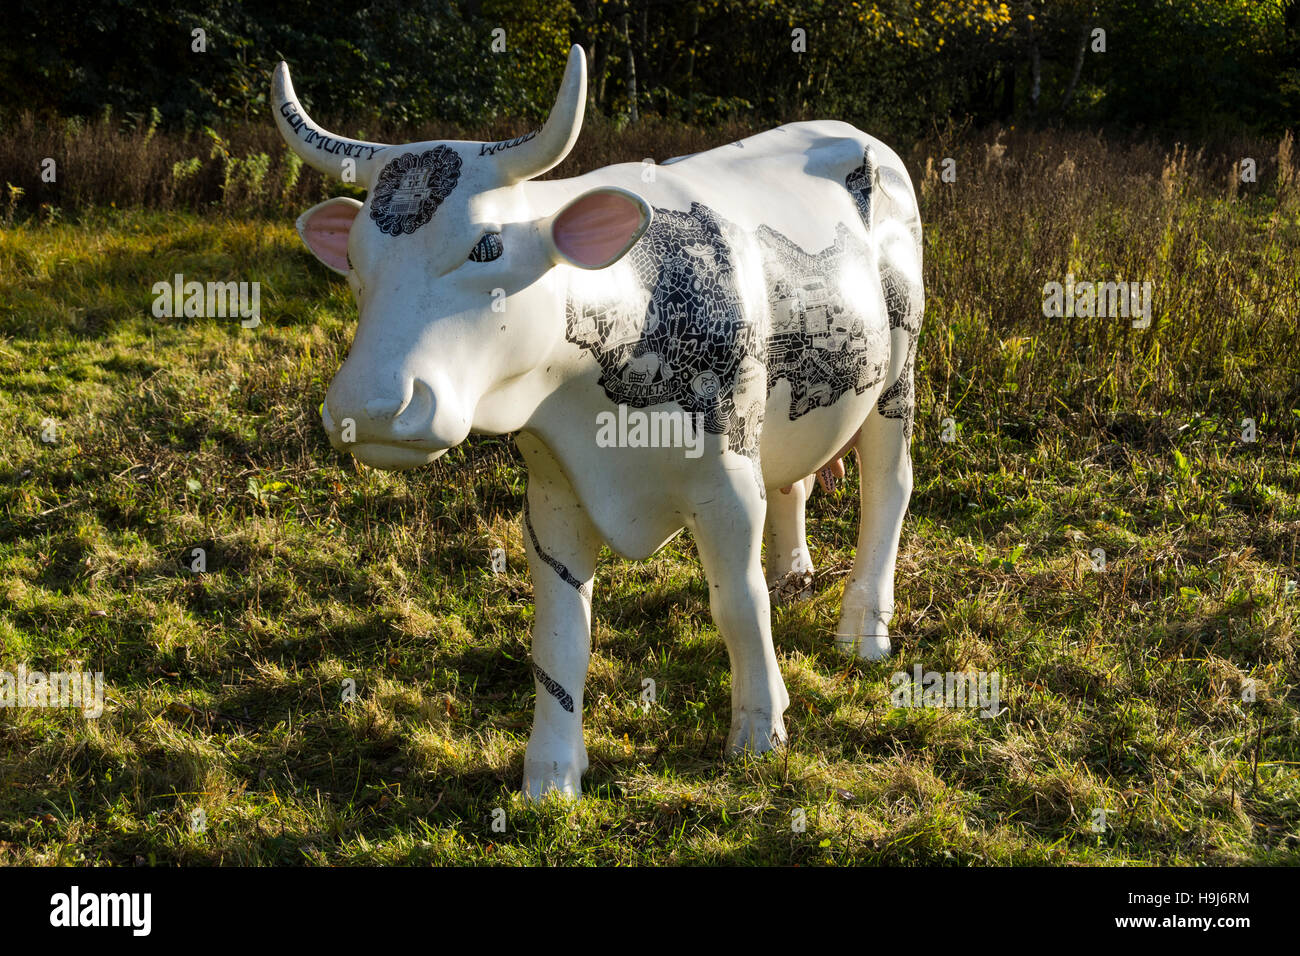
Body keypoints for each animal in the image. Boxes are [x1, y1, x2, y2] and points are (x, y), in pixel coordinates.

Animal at [272, 46, 923, 799]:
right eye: (352, 258)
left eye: (486, 247)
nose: (367, 409)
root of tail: (860, 136)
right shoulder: (552, 494)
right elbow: (560, 632)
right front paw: (551, 773)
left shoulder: (727, 480)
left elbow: (738, 604)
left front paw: (761, 731)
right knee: (796, 480)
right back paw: (794, 576)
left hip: (897, 375)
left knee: (888, 488)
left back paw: (863, 630)